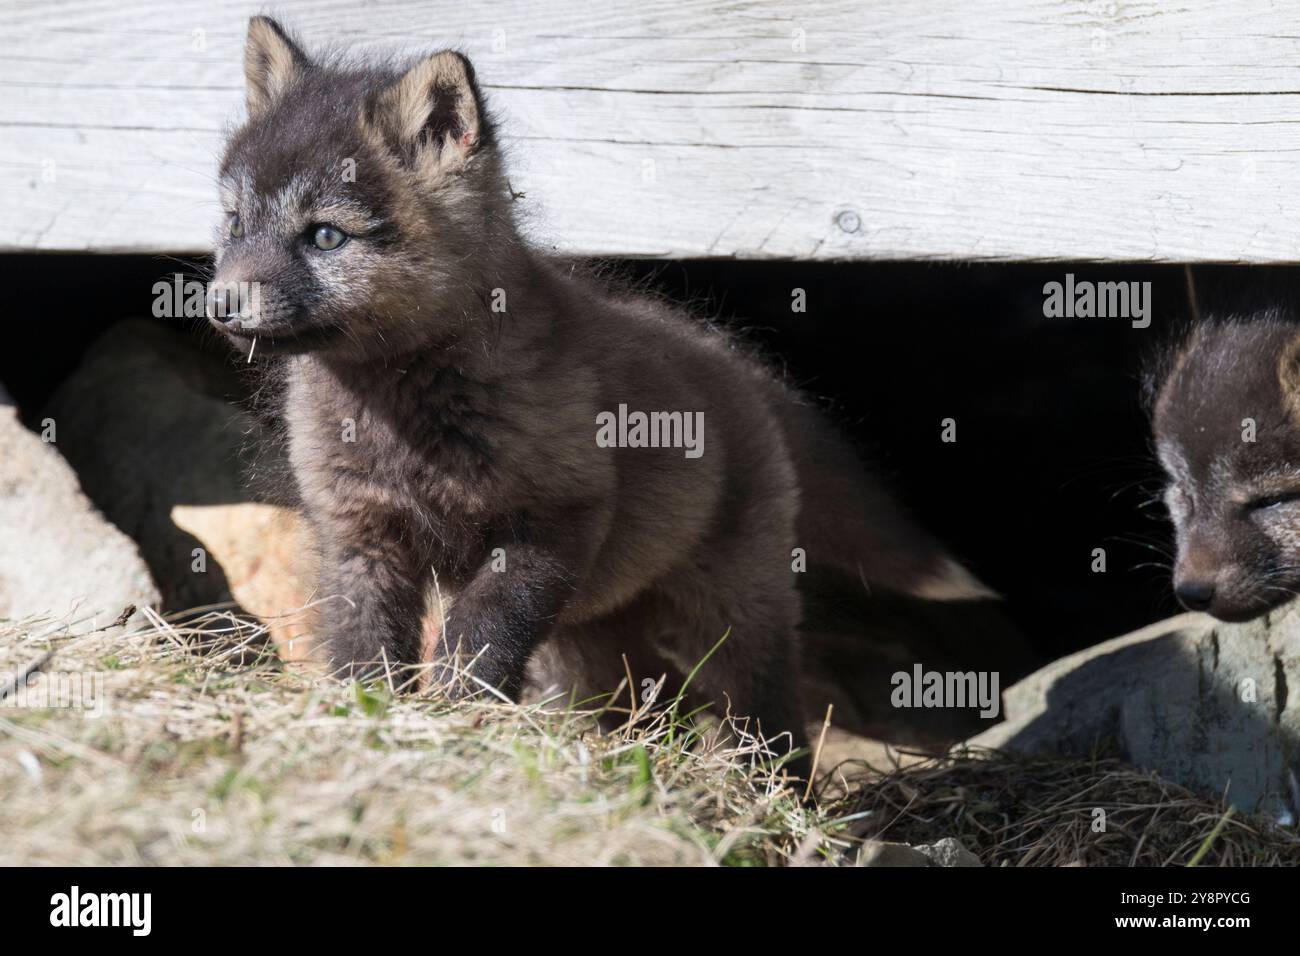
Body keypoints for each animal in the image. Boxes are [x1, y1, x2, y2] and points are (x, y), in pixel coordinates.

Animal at [207, 17, 1000, 775]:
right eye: (236, 223)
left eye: (325, 236)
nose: (216, 302)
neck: (402, 414)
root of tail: (736, 360)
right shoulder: (360, 535)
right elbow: (364, 647)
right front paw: (369, 721)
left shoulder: (552, 522)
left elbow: (477, 636)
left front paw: (458, 716)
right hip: (588, 632)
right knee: (645, 697)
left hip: (730, 605)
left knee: (765, 698)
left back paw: (767, 782)